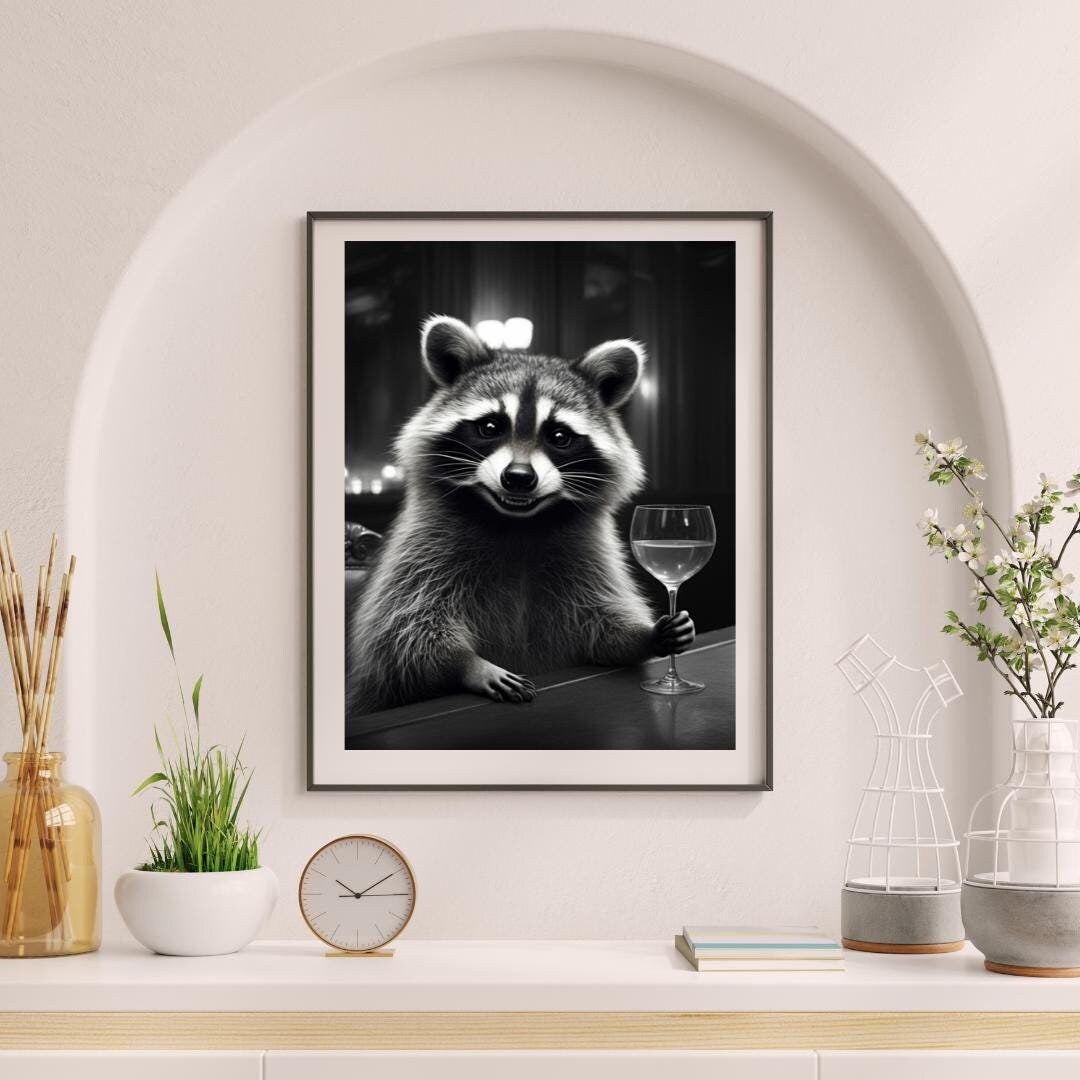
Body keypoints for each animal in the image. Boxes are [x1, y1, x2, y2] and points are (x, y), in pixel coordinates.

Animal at [345, 315, 695, 715]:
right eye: (490, 427)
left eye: (559, 436)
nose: (518, 478)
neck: (517, 525)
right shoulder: (421, 552)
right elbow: (403, 632)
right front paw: (467, 663)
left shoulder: (590, 560)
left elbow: (601, 623)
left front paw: (645, 635)